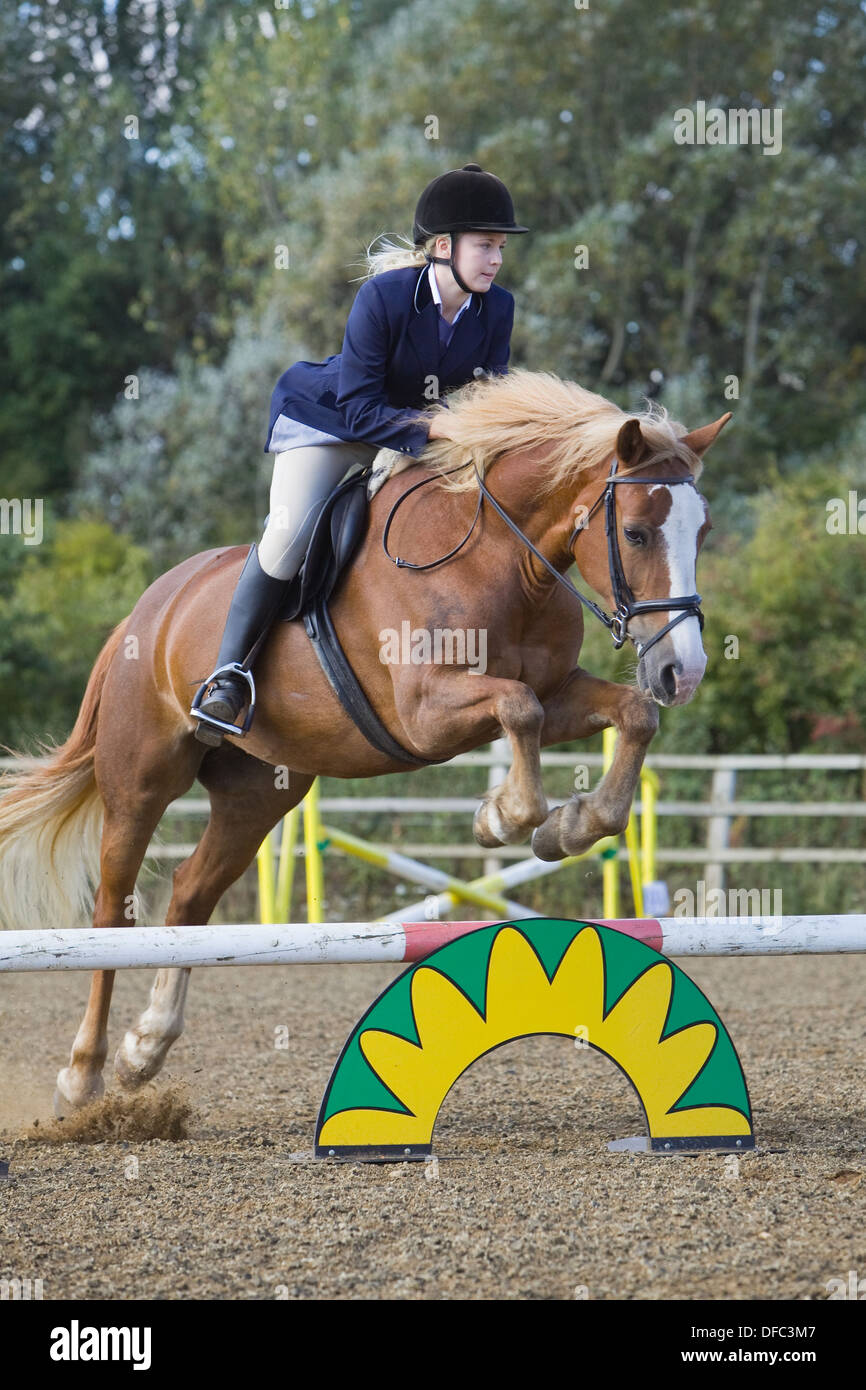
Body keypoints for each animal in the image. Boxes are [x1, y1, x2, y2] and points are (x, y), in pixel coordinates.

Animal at [0, 368, 730, 1112]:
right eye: (635, 533)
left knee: (191, 893)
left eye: (701, 530)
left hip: (258, 793)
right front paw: (502, 818)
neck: (502, 559)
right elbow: (517, 708)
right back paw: (83, 1074)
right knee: (111, 911)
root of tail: (144, 612)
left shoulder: (560, 693)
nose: (684, 671)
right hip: (142, 781)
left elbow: (631, 715)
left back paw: (144, 1049)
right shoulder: (425, 711)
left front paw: (570, 828)